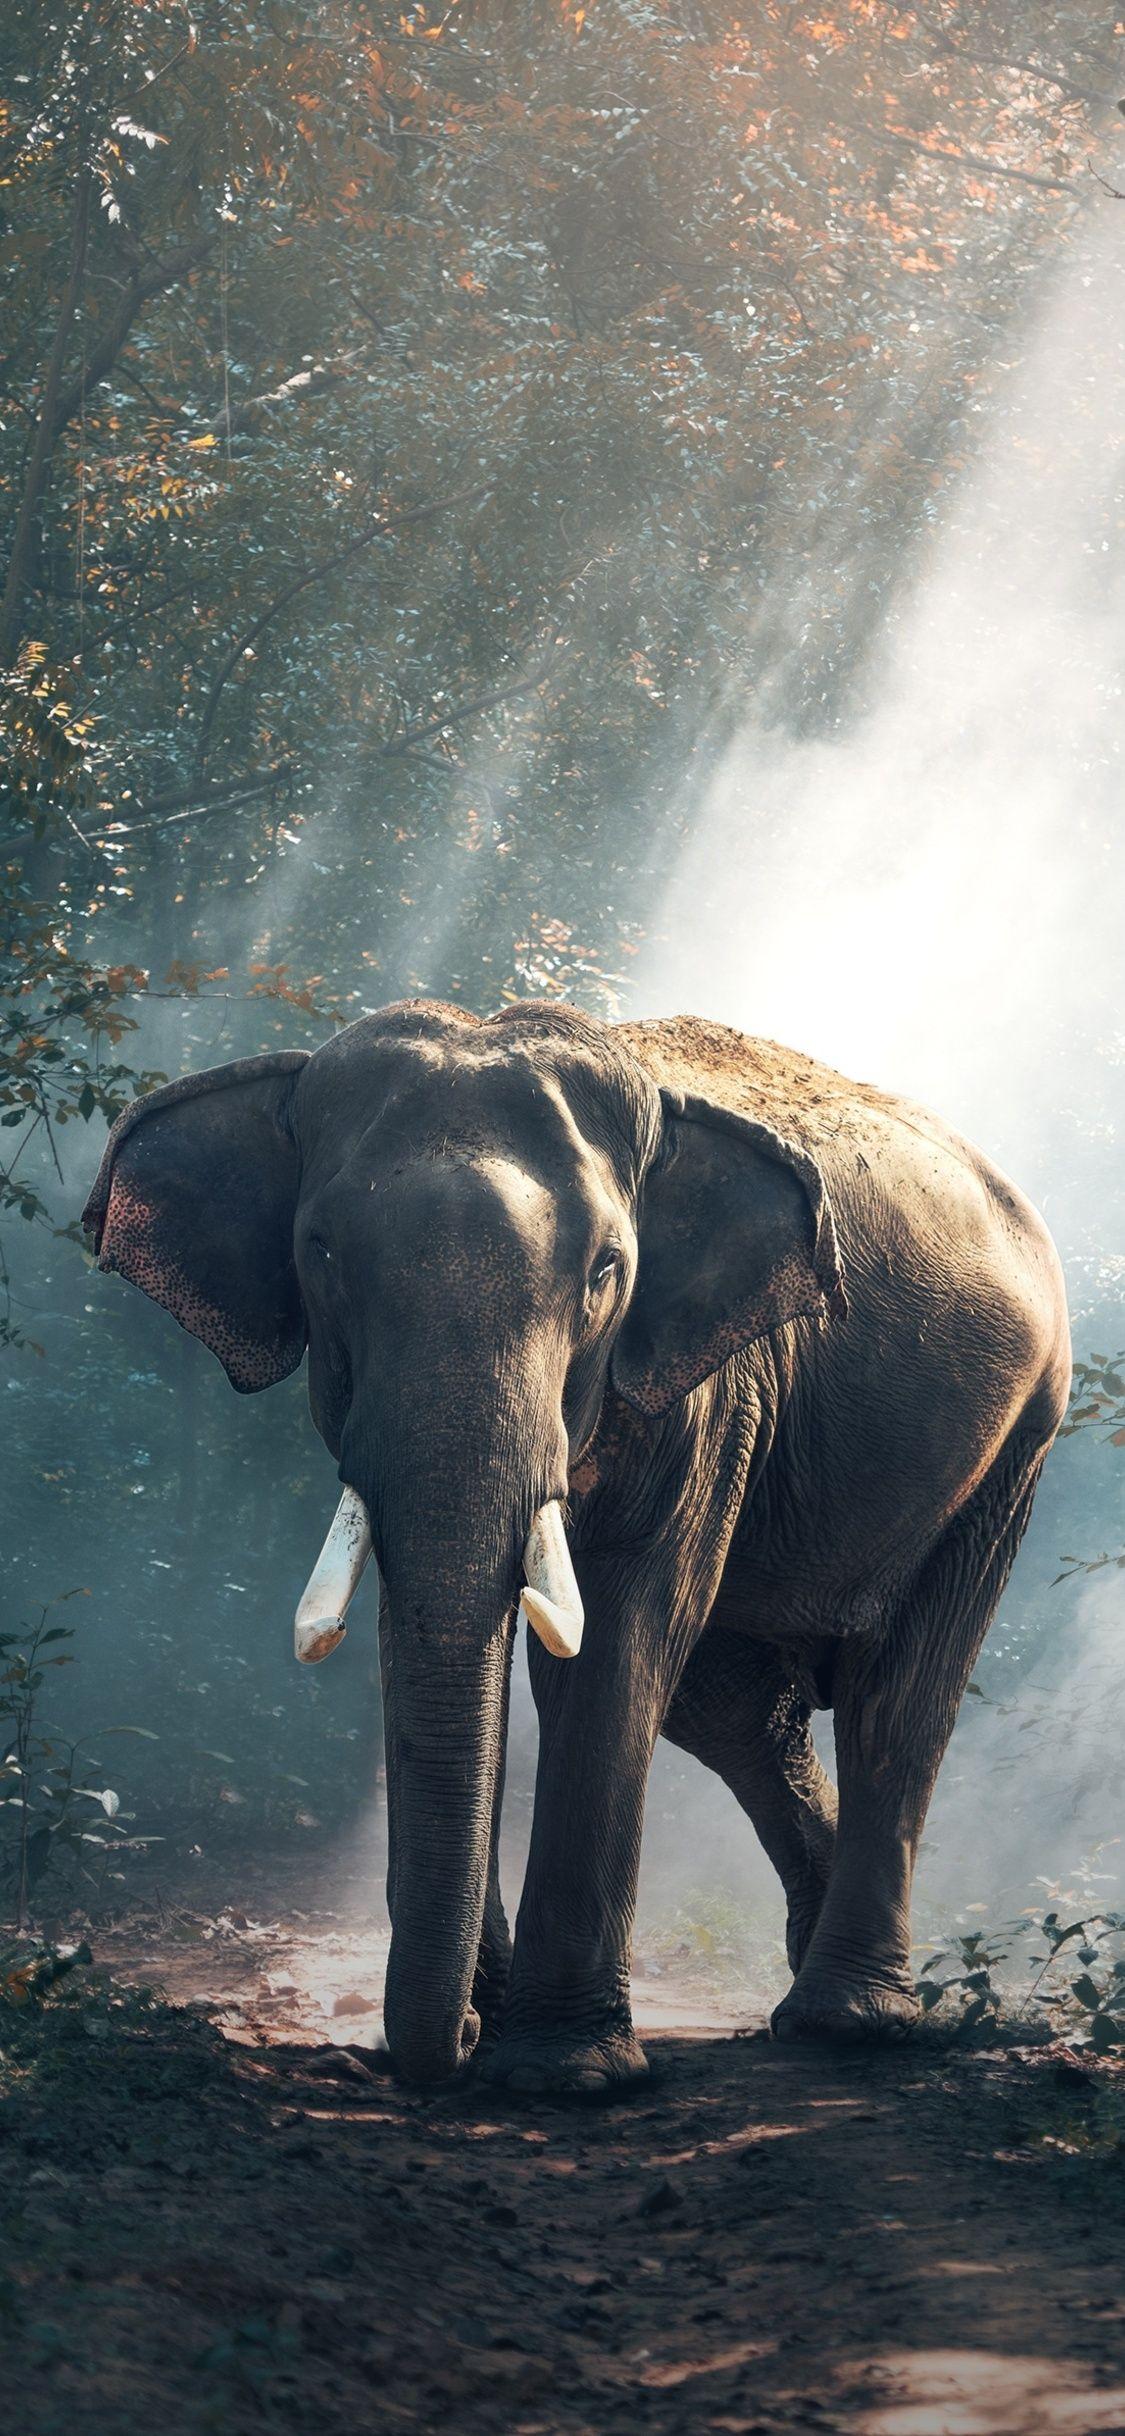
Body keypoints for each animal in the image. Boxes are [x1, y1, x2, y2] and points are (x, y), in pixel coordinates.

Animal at [82, 999, 1070, 2092]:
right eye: (322, 1254)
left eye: (605, 1271)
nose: (455, 2040)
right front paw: (497, 2024)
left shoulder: (707, 1390)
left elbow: (618, 1636)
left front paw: (563, 2074)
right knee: (736, 1709)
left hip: (1015, 1444)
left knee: (897, 1697)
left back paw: (845, 2022)